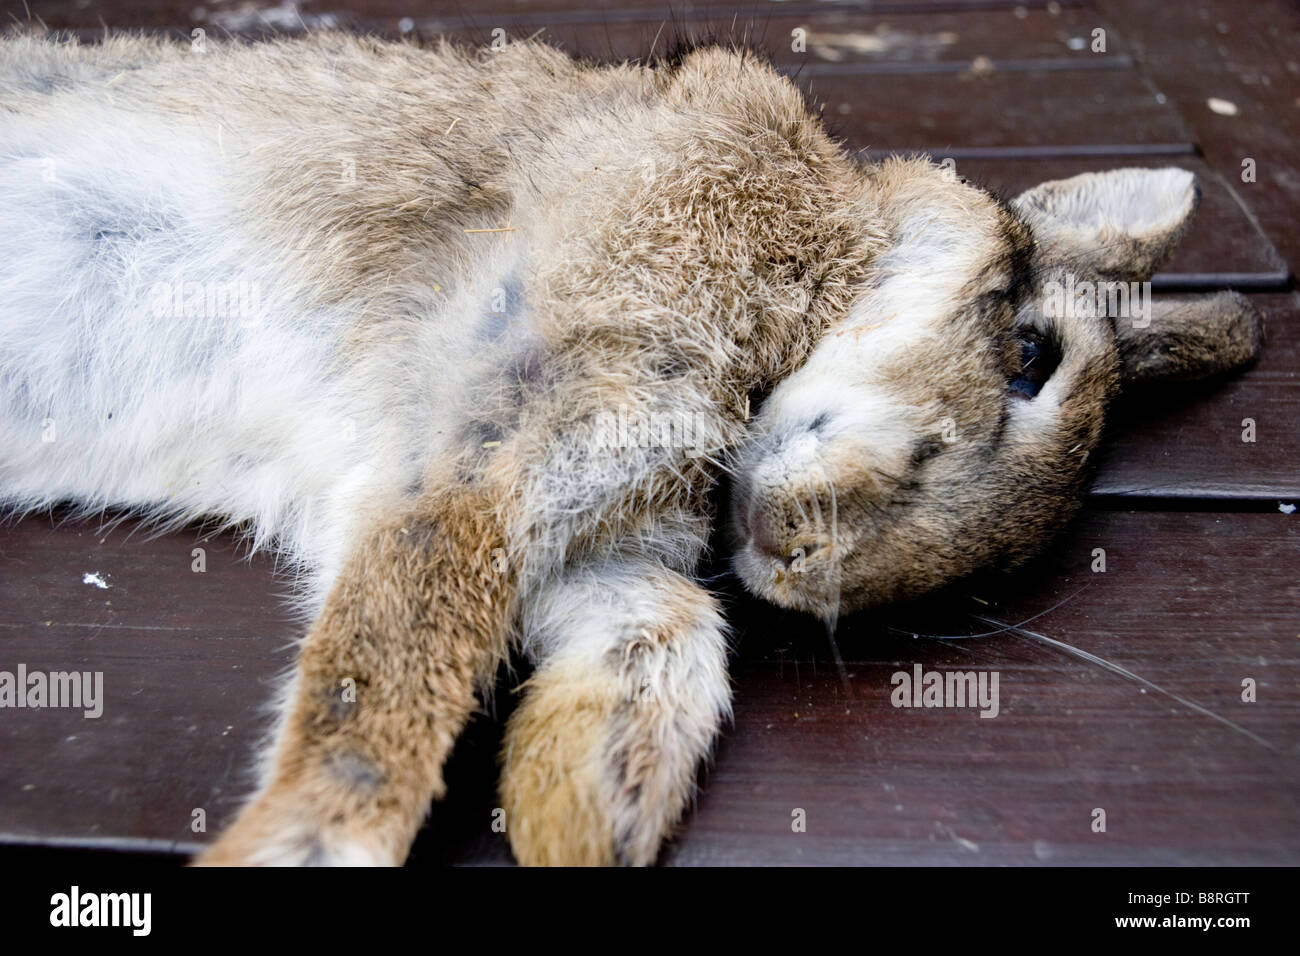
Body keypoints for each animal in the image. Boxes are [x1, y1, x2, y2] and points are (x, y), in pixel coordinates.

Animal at [0, 32, 1261, 866]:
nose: (794, 553)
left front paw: (581, 814)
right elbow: (386, 701)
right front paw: (303, 844)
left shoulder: (587, 541)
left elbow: (665, 633)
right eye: (1026, 353)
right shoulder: (497, 428)